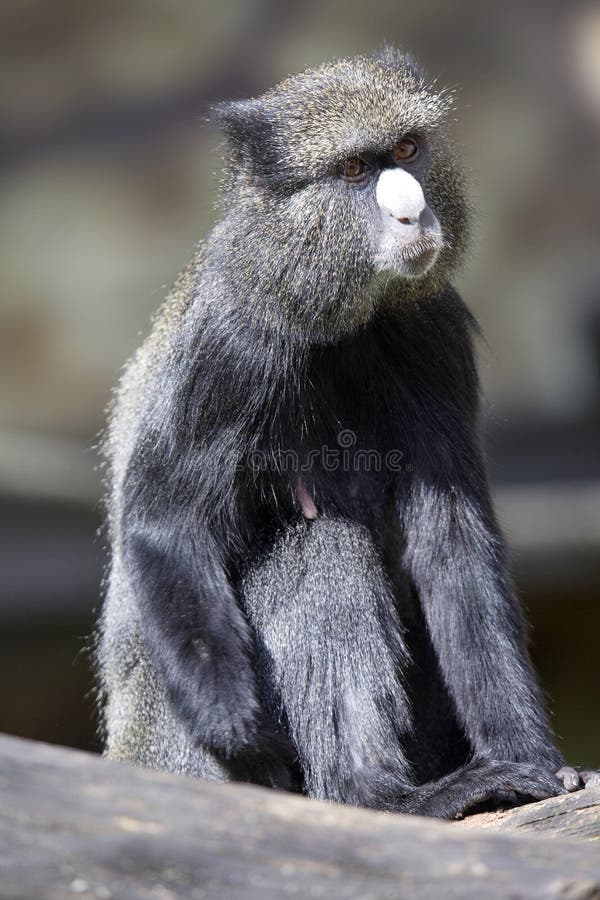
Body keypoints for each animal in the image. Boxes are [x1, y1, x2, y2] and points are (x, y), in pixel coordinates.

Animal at [95, 47, 598, 818]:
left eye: (407, 151)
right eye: (356, 169)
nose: (412, 209)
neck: (341, 317)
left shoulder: (431, 331)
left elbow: (452, 546)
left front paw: (531, 755)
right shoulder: (237, 336)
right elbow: (164, 520)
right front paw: (238, 728)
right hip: (179, 759)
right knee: (321, 541)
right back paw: (378, 796)